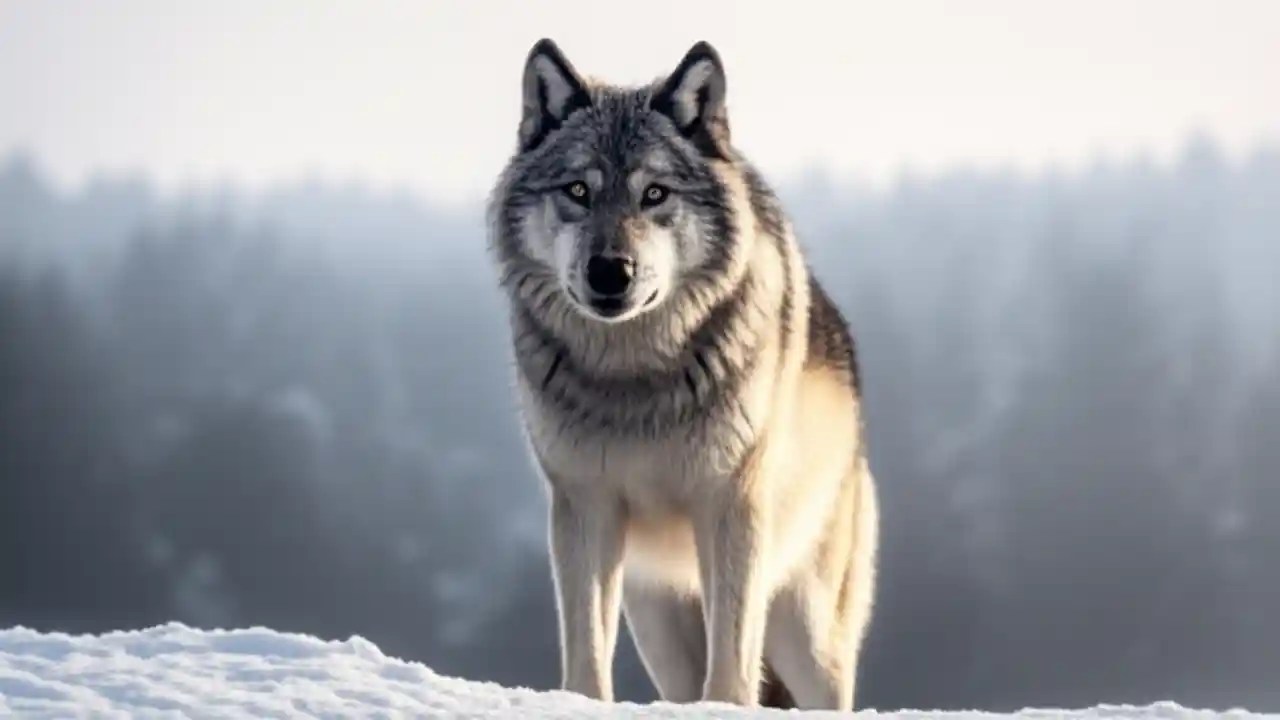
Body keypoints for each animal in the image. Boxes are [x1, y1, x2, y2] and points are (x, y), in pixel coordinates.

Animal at [486, 38, 879, 710]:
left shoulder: (730, 504)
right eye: (578, 190)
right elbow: (586, 651)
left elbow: (732, 658)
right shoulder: (584, 506)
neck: (635, 378)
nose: (610, 270)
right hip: (659, 629)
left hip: (805, 637)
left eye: (655, 194)